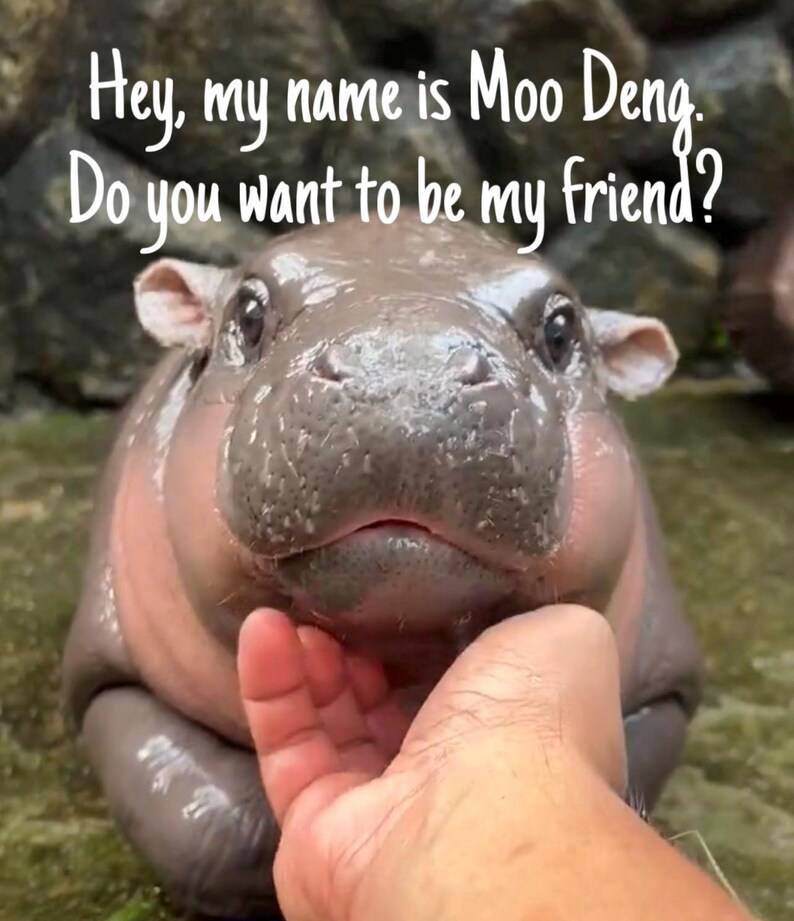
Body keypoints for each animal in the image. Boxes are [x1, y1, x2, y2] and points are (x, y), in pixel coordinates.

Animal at [63, 213, 702, 919]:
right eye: (248, 314)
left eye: (563, 330)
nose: (406, 370)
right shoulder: (107, 676)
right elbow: (211, 827)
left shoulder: (665, 690)